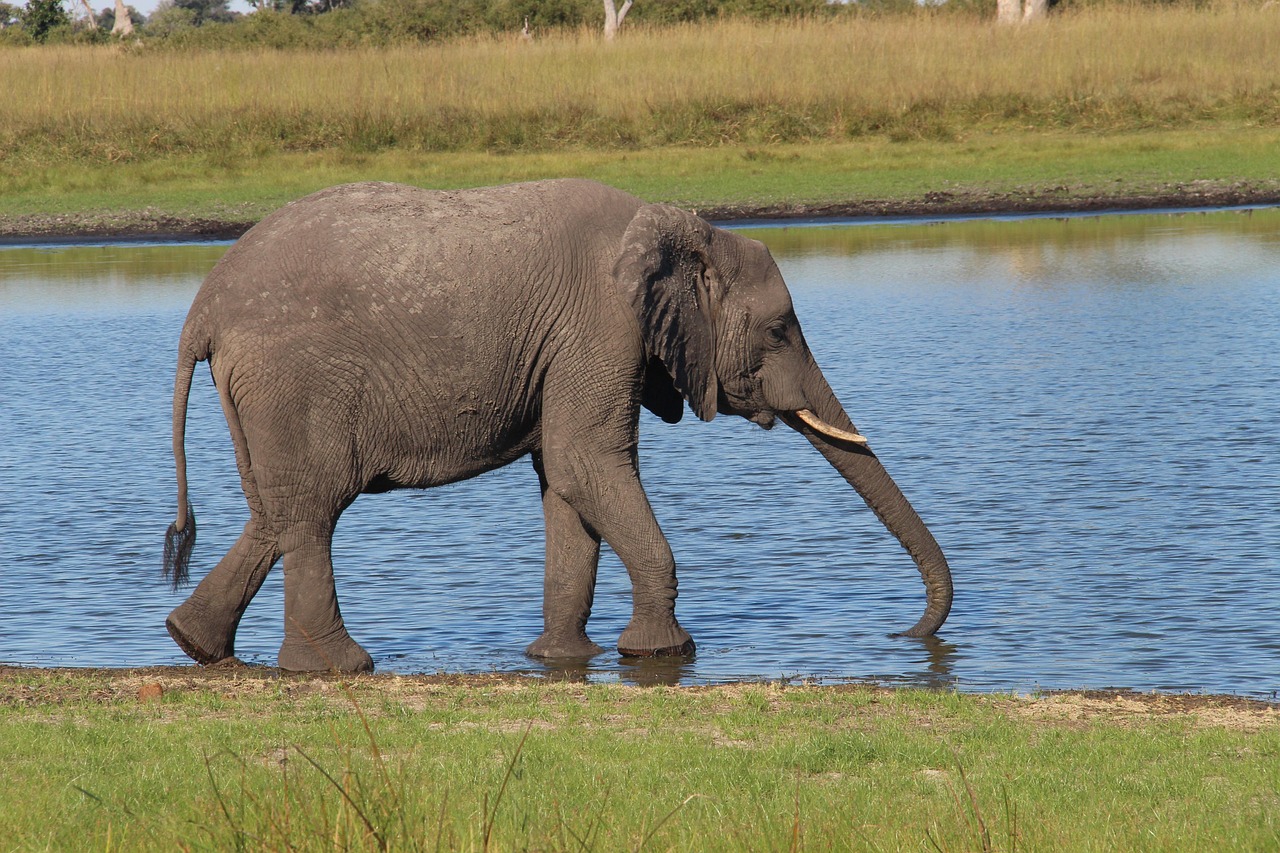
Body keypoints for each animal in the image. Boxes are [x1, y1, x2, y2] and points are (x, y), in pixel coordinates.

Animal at [163, 178, 952, 673]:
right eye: (781, 329)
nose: (903, 633)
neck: (675, 227)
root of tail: (202, 311)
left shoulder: (575, 344)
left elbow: (565, 484)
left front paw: (563, 661)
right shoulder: (599, 327)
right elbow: (588, 464)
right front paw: (662, 653)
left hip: (257, 395)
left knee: (278, 512)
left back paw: (198, 646)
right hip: (292, 383)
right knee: (314, 510)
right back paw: (338, 667)